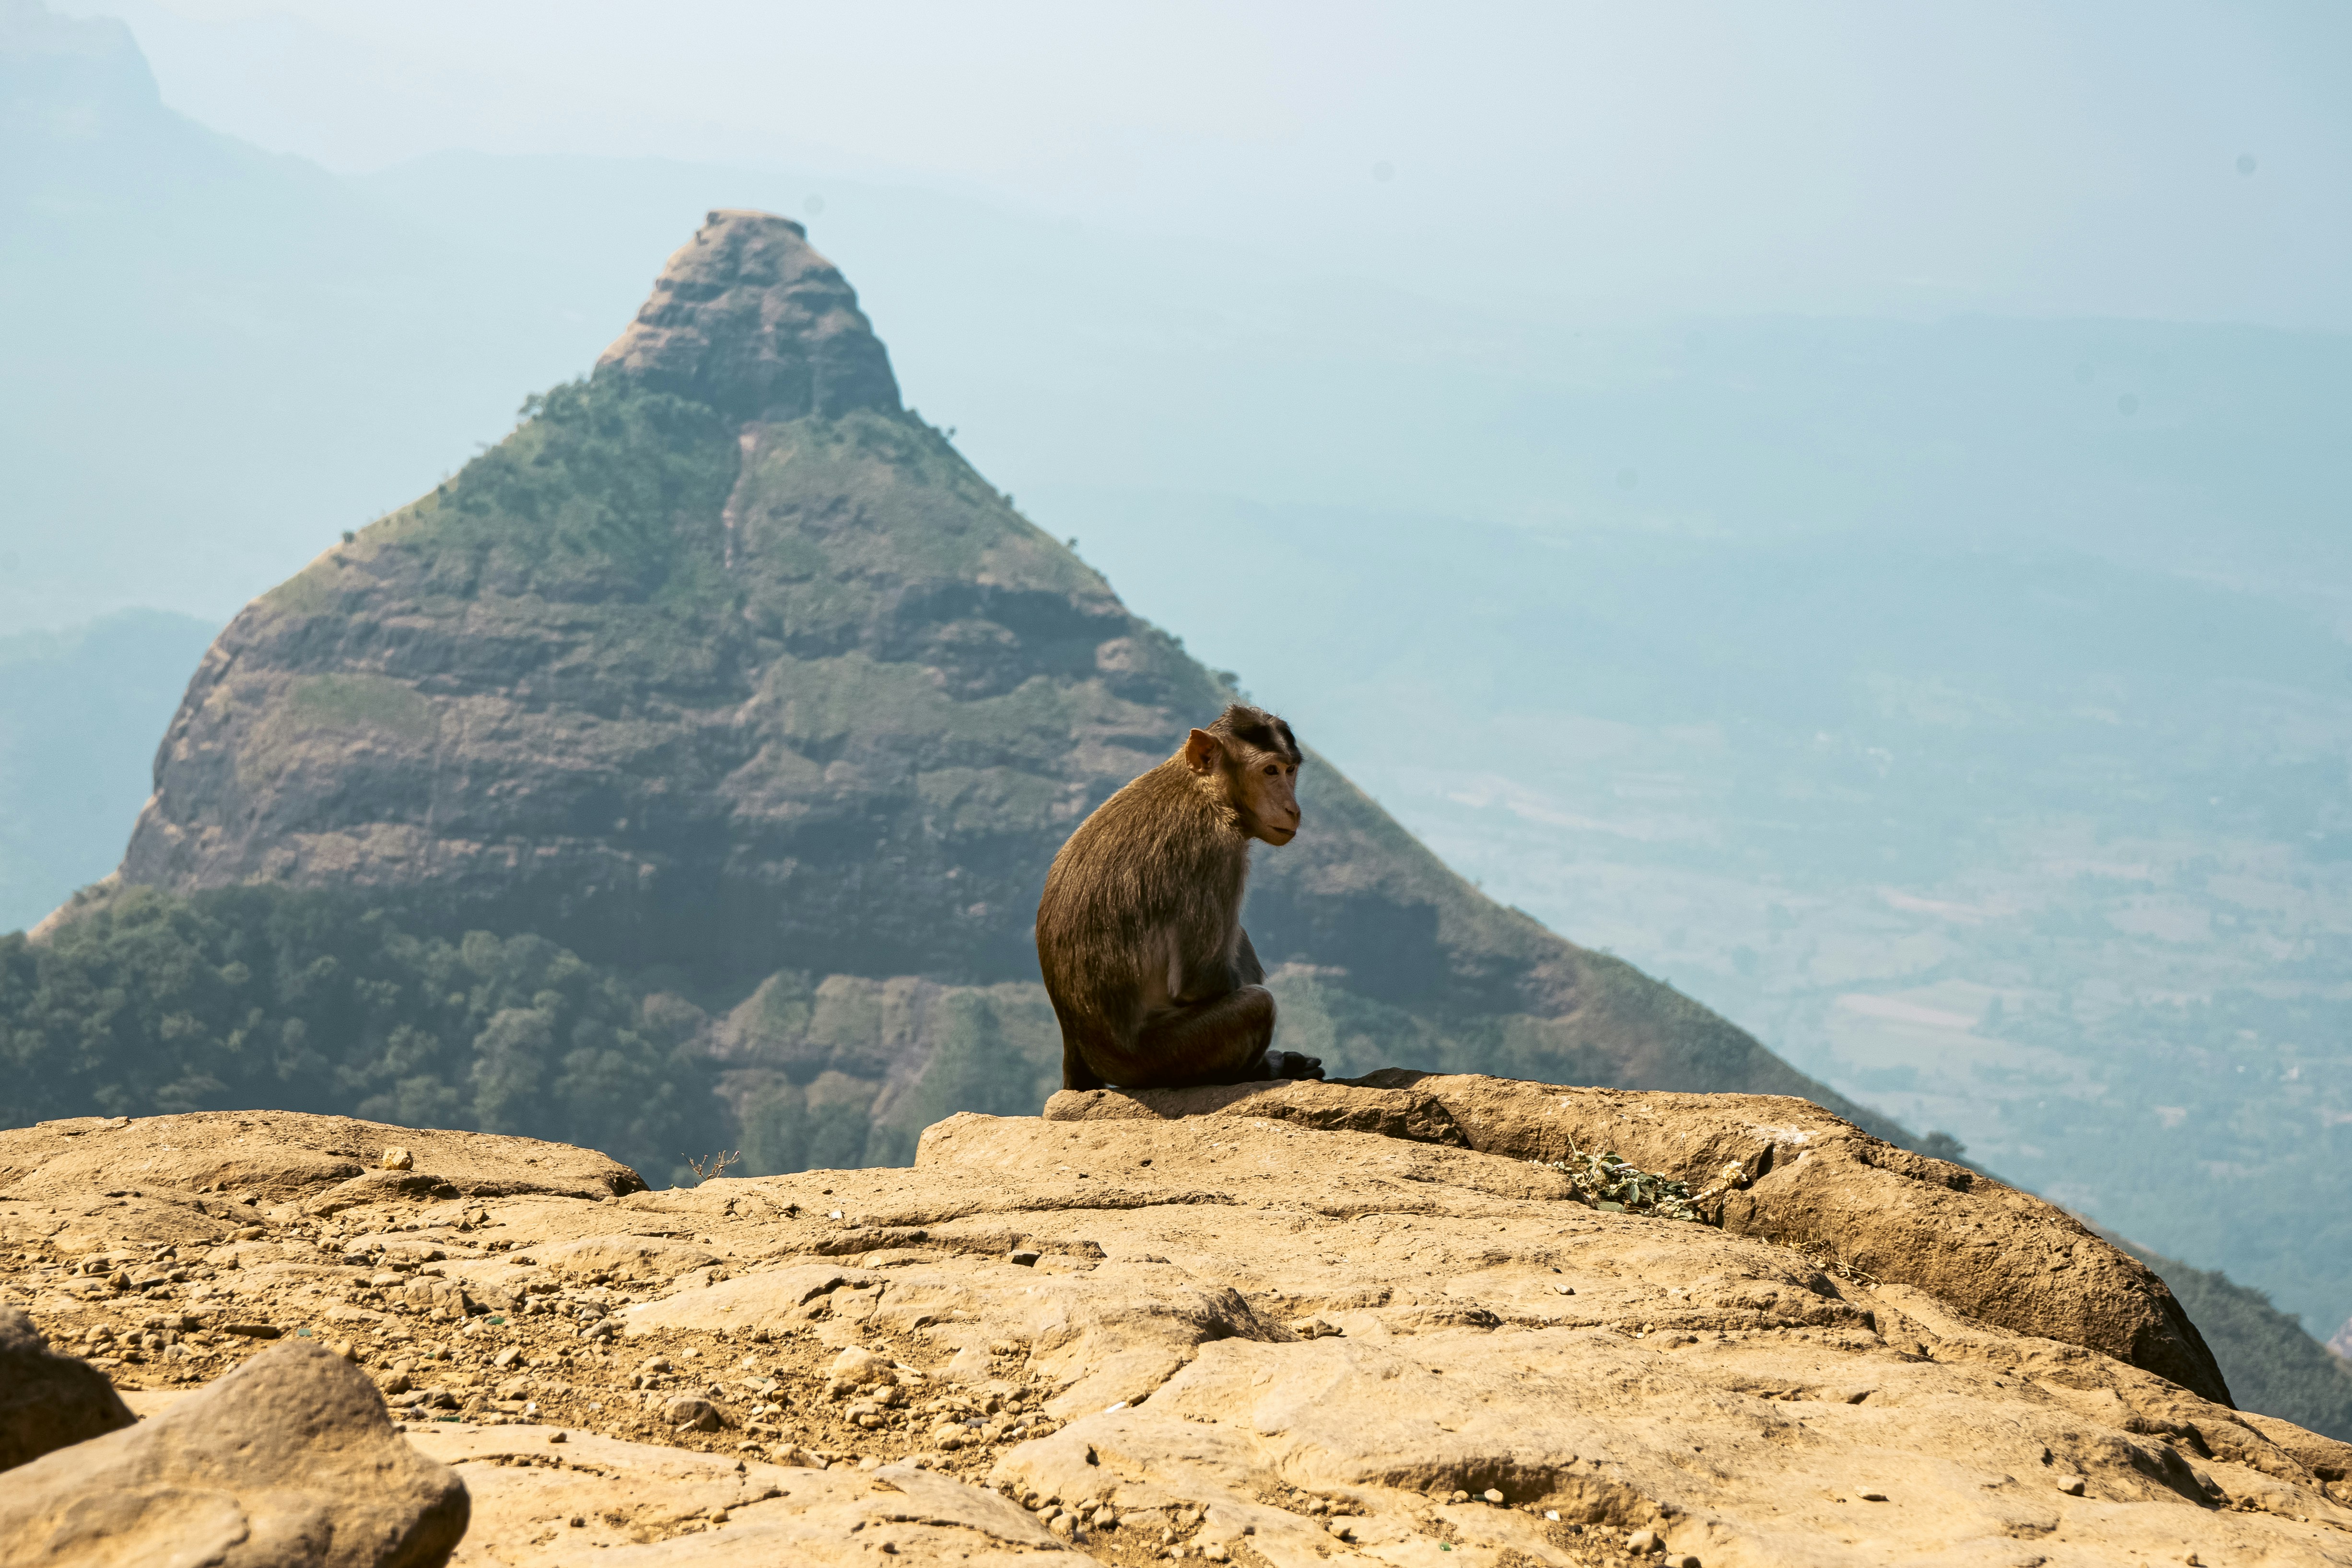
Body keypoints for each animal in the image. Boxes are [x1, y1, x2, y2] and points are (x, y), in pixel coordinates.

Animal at [1035, 703, 1326, 1091]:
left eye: (1289, 770)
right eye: (1270, 771)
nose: (1293, 809)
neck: (1203, 789)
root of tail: (1080, 1049)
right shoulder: (1216, 853)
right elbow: (1200, 982)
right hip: (1160, 1059)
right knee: (1257, 1005)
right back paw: (1262, 1070)